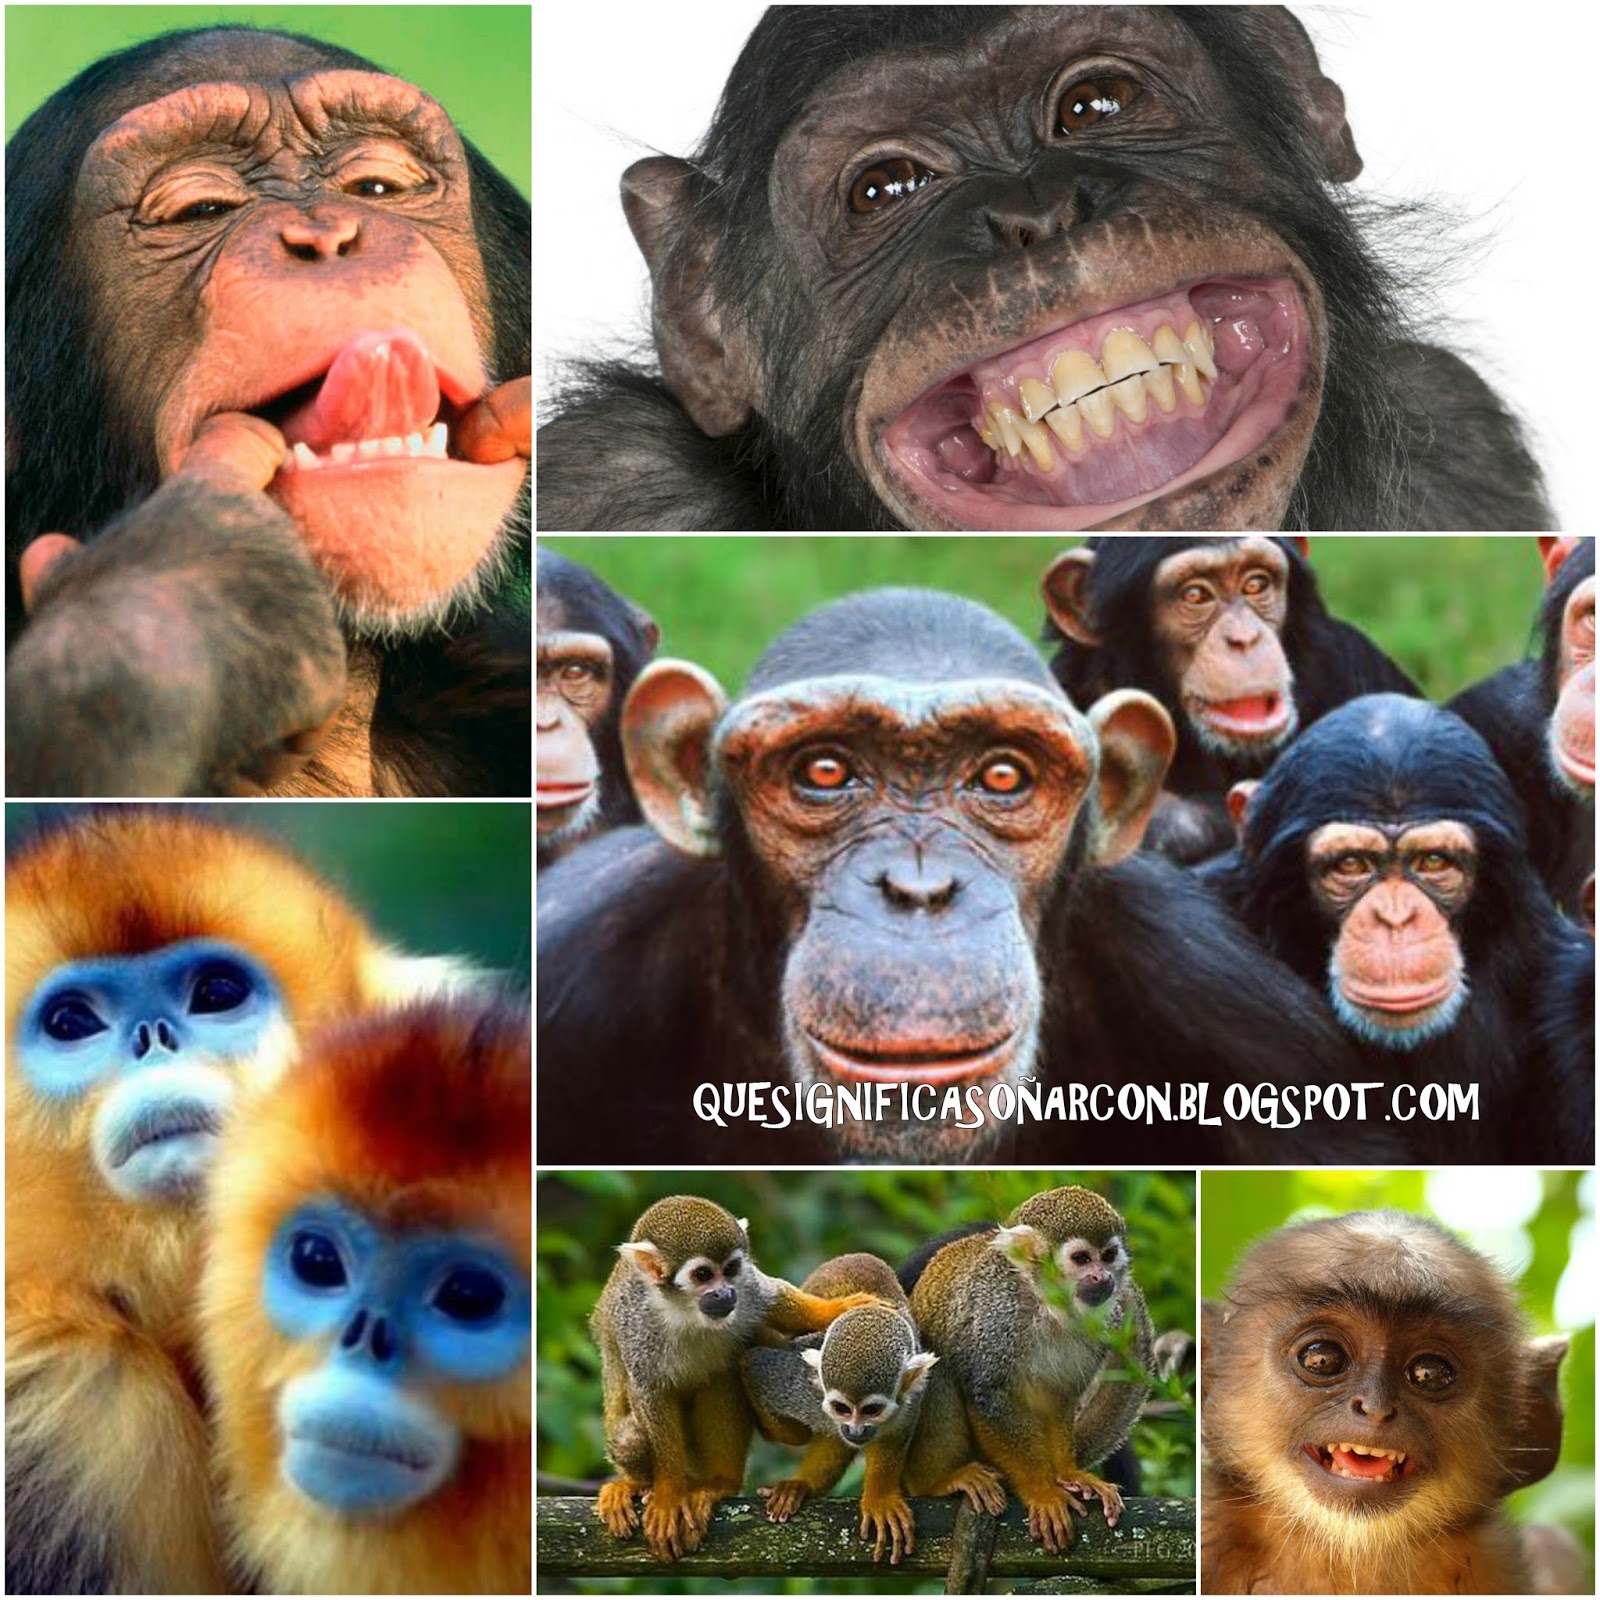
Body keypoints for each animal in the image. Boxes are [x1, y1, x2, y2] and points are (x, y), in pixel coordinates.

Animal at [590, 1195, 890, 1560]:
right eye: (703, 1274)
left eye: (730, 1269)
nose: (725, 1294)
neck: (684, 1310)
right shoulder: (637, 1324)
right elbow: (650, 1393)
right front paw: (668, 1494)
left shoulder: (747, 1287)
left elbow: (775, 1299)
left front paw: (838, 1309)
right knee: (629, 1437)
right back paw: (636, 1485)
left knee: (725, 1374)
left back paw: (720, 1484)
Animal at [741, 1251, 1002, 1565]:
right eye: (841, 1407)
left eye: (872, 1410)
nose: (856, 1430)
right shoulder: (797, 1385)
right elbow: (754, 1365)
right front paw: (795, 1437)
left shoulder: (912, 1397)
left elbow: (894, 1436)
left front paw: (879, 1499)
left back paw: (804, 1484)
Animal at [903, 1185, 1155, 1555]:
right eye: (1082, 1259)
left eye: (1108, 1255)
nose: (1104, 1277)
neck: (1047, 1303)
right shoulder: (998, 1315)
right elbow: (989, 1394)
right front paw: (1043, 1491)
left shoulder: (1103, 1322)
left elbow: (1059, 1398)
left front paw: (1068, 1474)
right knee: (938, 1365)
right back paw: (936, 1480)